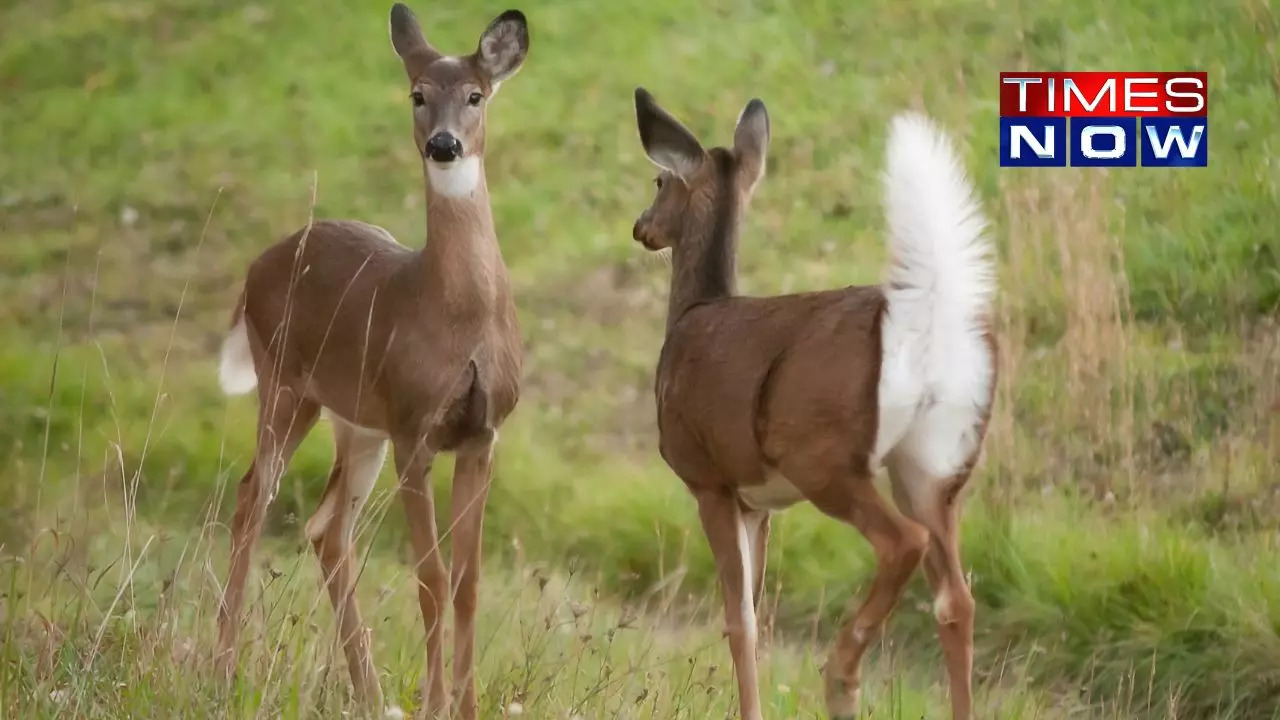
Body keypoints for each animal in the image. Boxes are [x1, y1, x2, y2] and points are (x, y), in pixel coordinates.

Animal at [212, 5, 529, 718]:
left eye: (476, 95)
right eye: (417, 94)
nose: (444, 144)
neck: (458, 314)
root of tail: (255, 267)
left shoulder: (482, 434)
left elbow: (468, 581)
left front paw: (463, 705)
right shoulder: (415, 428)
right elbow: (431, 577)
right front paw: (437, 703)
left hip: (357, 423)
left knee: (328, 528)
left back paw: (370, 691)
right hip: (286, 384)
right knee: (253, 498)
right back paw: (221, 666)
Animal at [629, 87, 997, 720]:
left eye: (659, 180)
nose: (641, 229)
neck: (692, 312)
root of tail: (925, 327)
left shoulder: (709, 480)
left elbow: (740, 621)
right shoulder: (759, 502)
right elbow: (754, 611)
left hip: (823, 458)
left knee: (903, 542)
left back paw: (841, 679)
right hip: (932, 467)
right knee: (956, 599)